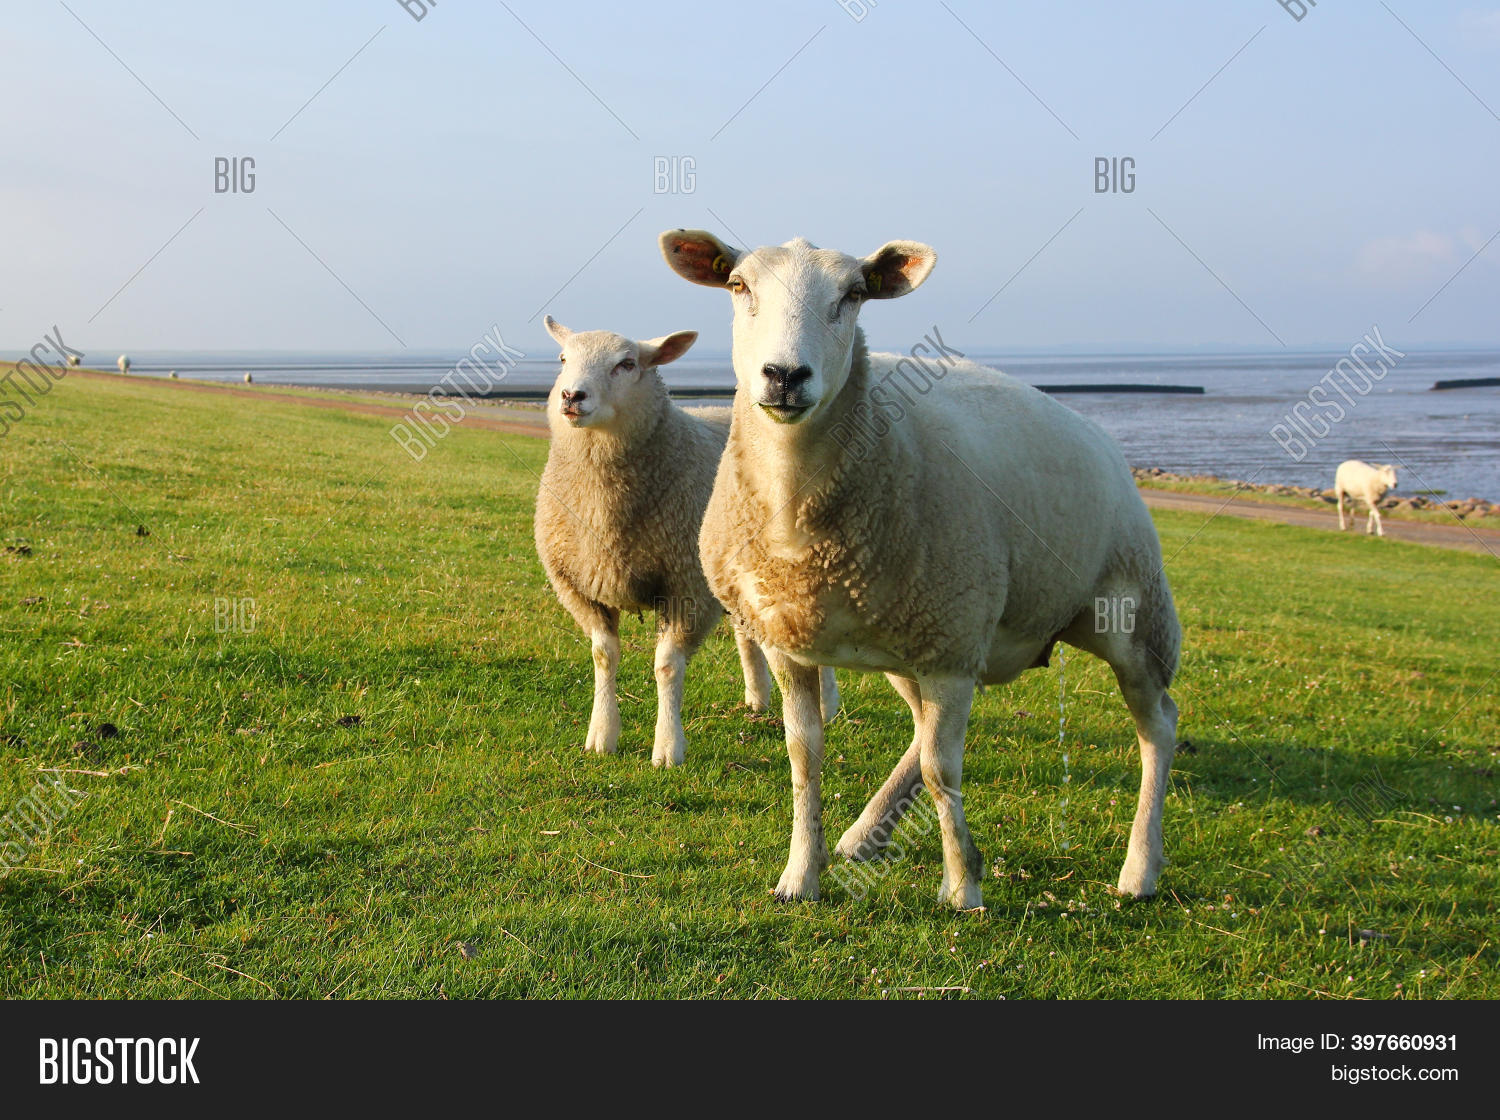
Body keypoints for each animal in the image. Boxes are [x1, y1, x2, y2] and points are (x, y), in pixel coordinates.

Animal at [534, 315, 838, 768]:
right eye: (562, 358)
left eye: (627, 364)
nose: (572, 396)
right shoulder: (580, 587)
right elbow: (603, 656)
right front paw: (602, 735)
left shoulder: (686, 586)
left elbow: (667, 667)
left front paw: (667, 747)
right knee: (746, 633)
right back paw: (757, 698)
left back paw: (828, 705)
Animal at [660, 229, 1181, 909]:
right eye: (737, 285)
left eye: (854, 294)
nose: (785, 375)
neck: (796, 516)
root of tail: (1100, 438)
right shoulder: (790, 642)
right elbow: (804, 757)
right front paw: (800, 876)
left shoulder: (951, 645)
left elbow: (942, 770)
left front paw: (963, 887)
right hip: (916, 642)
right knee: (919, 731)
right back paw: (863, 835)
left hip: (1128, 615)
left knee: (1158, 728)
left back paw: (1139, 869)